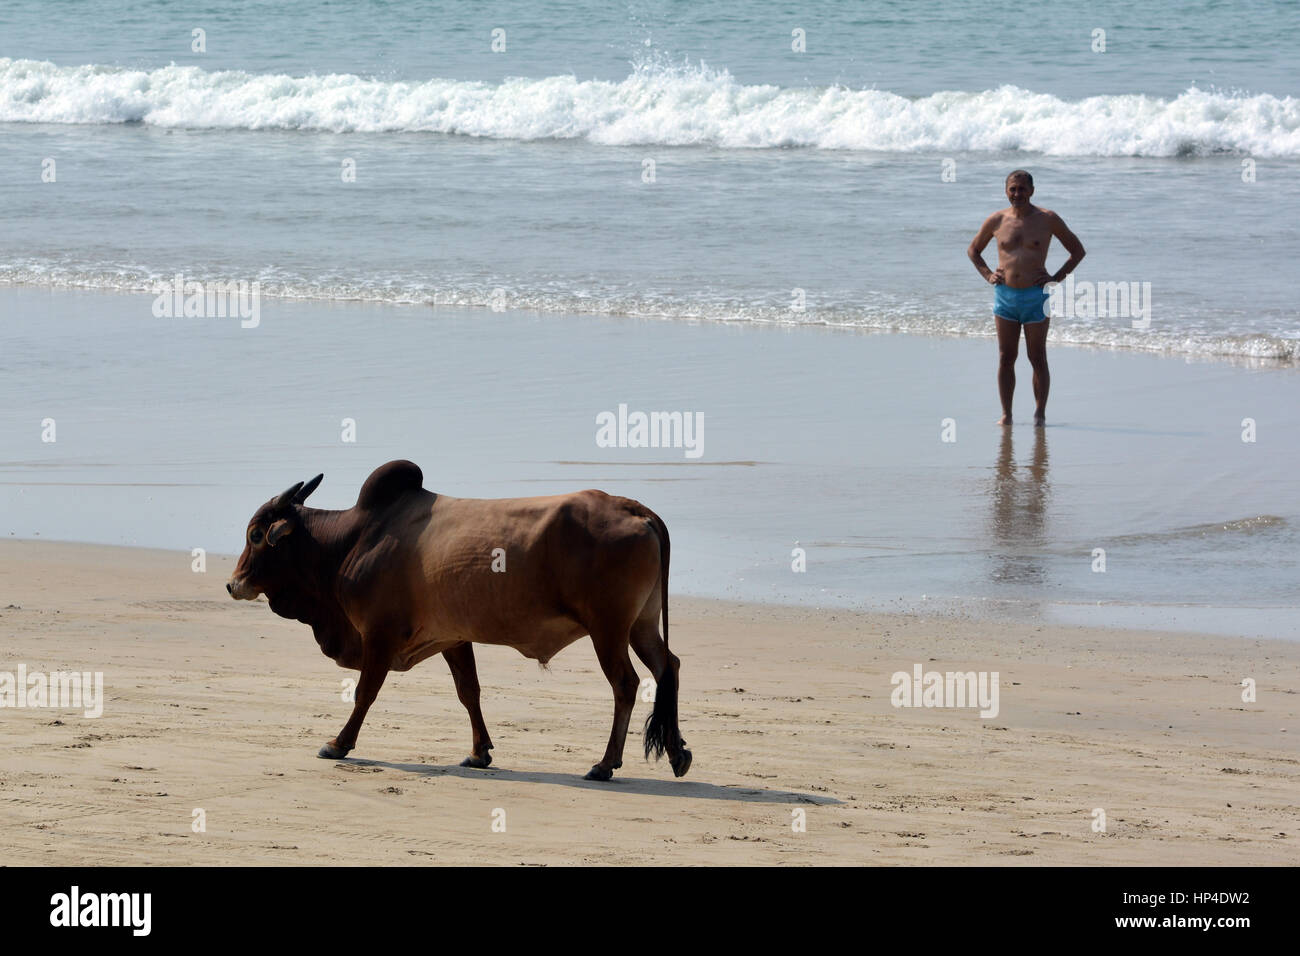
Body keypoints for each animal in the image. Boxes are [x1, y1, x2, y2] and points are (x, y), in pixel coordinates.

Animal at [226, 460, 691, 782]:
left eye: (255, 535)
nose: (232, 585)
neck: (353, 540)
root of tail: (636, 509)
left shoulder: (378, 634)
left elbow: (364, 693)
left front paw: (338, 744)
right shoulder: (452, 638)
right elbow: (470, 692)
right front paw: (479, 752)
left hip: (608, 629)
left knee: (626, 684)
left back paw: (605, 764)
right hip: (641, 625)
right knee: (667, 666)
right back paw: (677, 752)